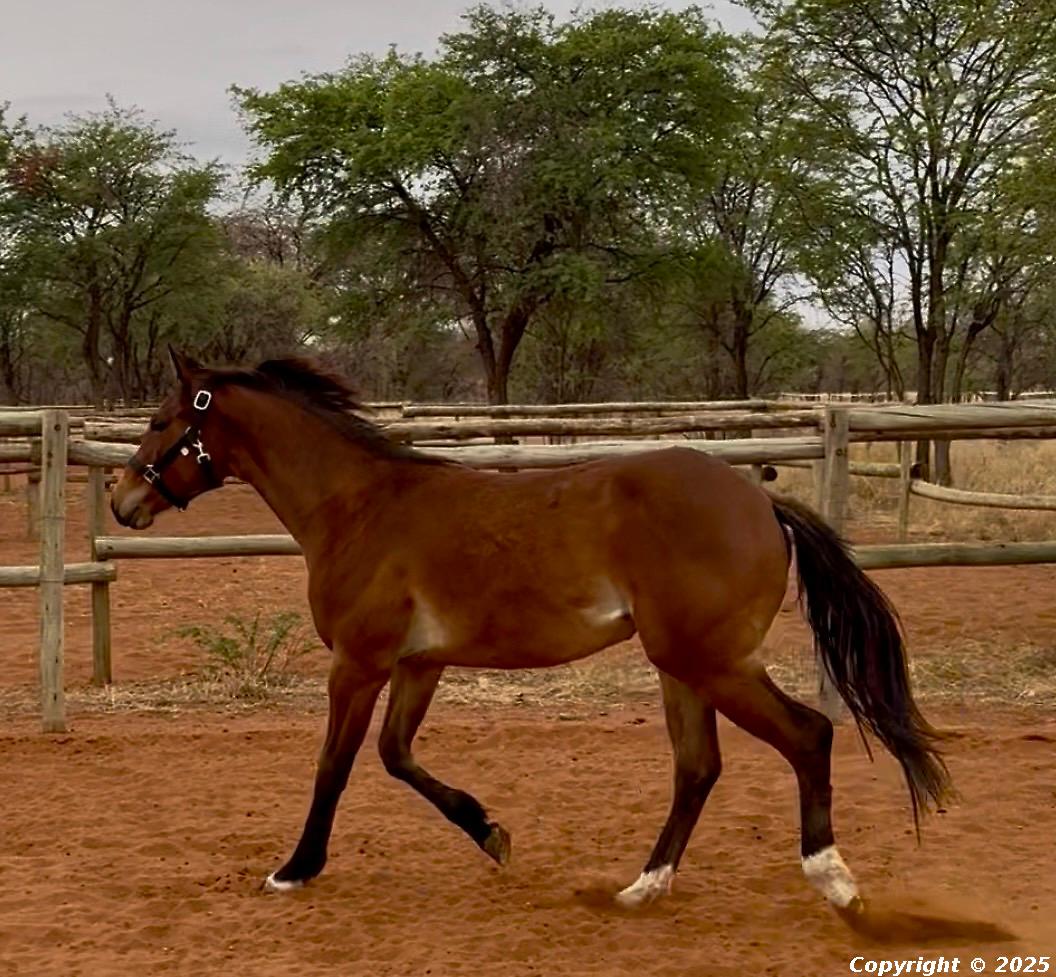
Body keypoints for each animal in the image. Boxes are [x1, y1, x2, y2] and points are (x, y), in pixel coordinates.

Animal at [111, 350, 949, 917]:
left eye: (159, 421)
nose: (123, 501)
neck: (358, 506)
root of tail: (760, 503)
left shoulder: (358, 663)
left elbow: (335, 766)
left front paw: (295, 867)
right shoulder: (419, 663)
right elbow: (395, 756)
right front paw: (490, 831)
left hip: (710, 661)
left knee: (807, 735)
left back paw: (833, 880)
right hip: (681, 664)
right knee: (698, 768)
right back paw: (641, 887)